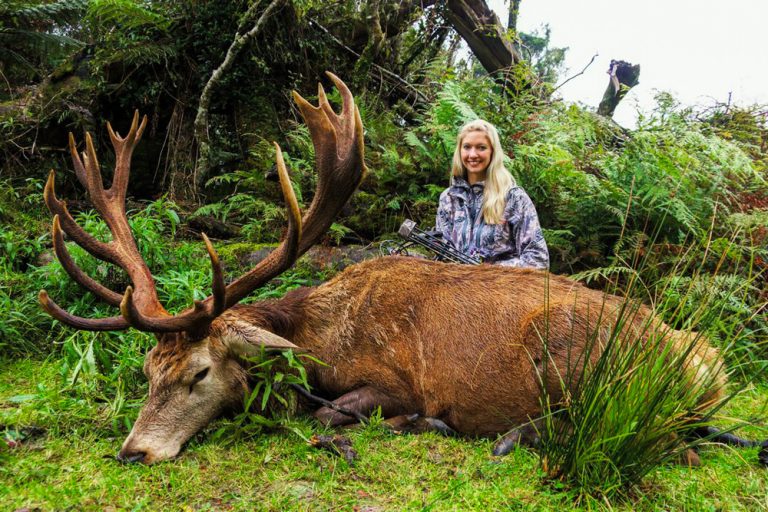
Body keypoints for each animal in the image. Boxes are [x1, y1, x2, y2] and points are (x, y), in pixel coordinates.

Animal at [39, 74, 767, 466]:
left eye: (199, 373)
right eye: (147, 371)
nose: (134, 450)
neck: (320, 339)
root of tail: (707, 365)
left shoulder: (399, 379)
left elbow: (328, 415)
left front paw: (410, 420)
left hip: (581, 362)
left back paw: (498, 436)